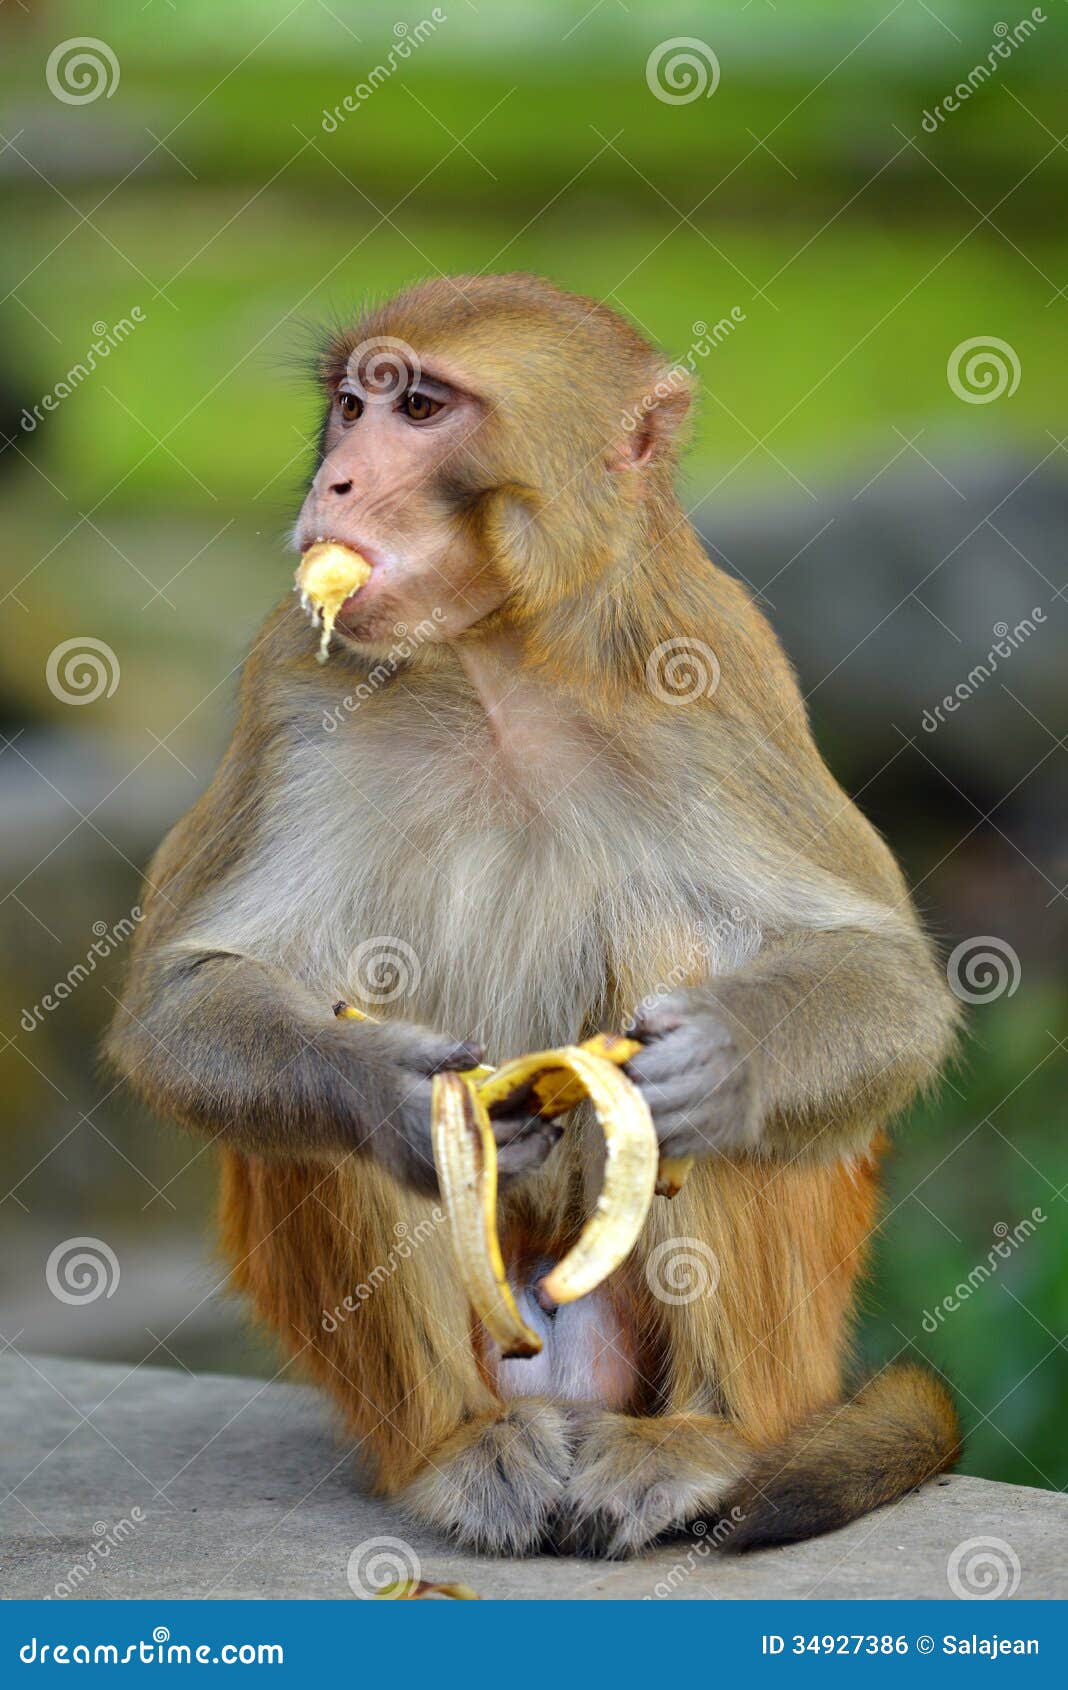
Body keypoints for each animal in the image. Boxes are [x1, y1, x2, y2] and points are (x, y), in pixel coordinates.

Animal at [105, 273, 962, 1560]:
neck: (497, 655)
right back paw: (460, 1447)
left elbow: (883, 979)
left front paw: (721, 1064)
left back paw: (700, 1439)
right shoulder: (289, 680)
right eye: (352, 404)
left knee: (682, 939)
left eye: (419, 406)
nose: (334, 482)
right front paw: (386, 1093)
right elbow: (187, 995)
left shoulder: (718, 659)